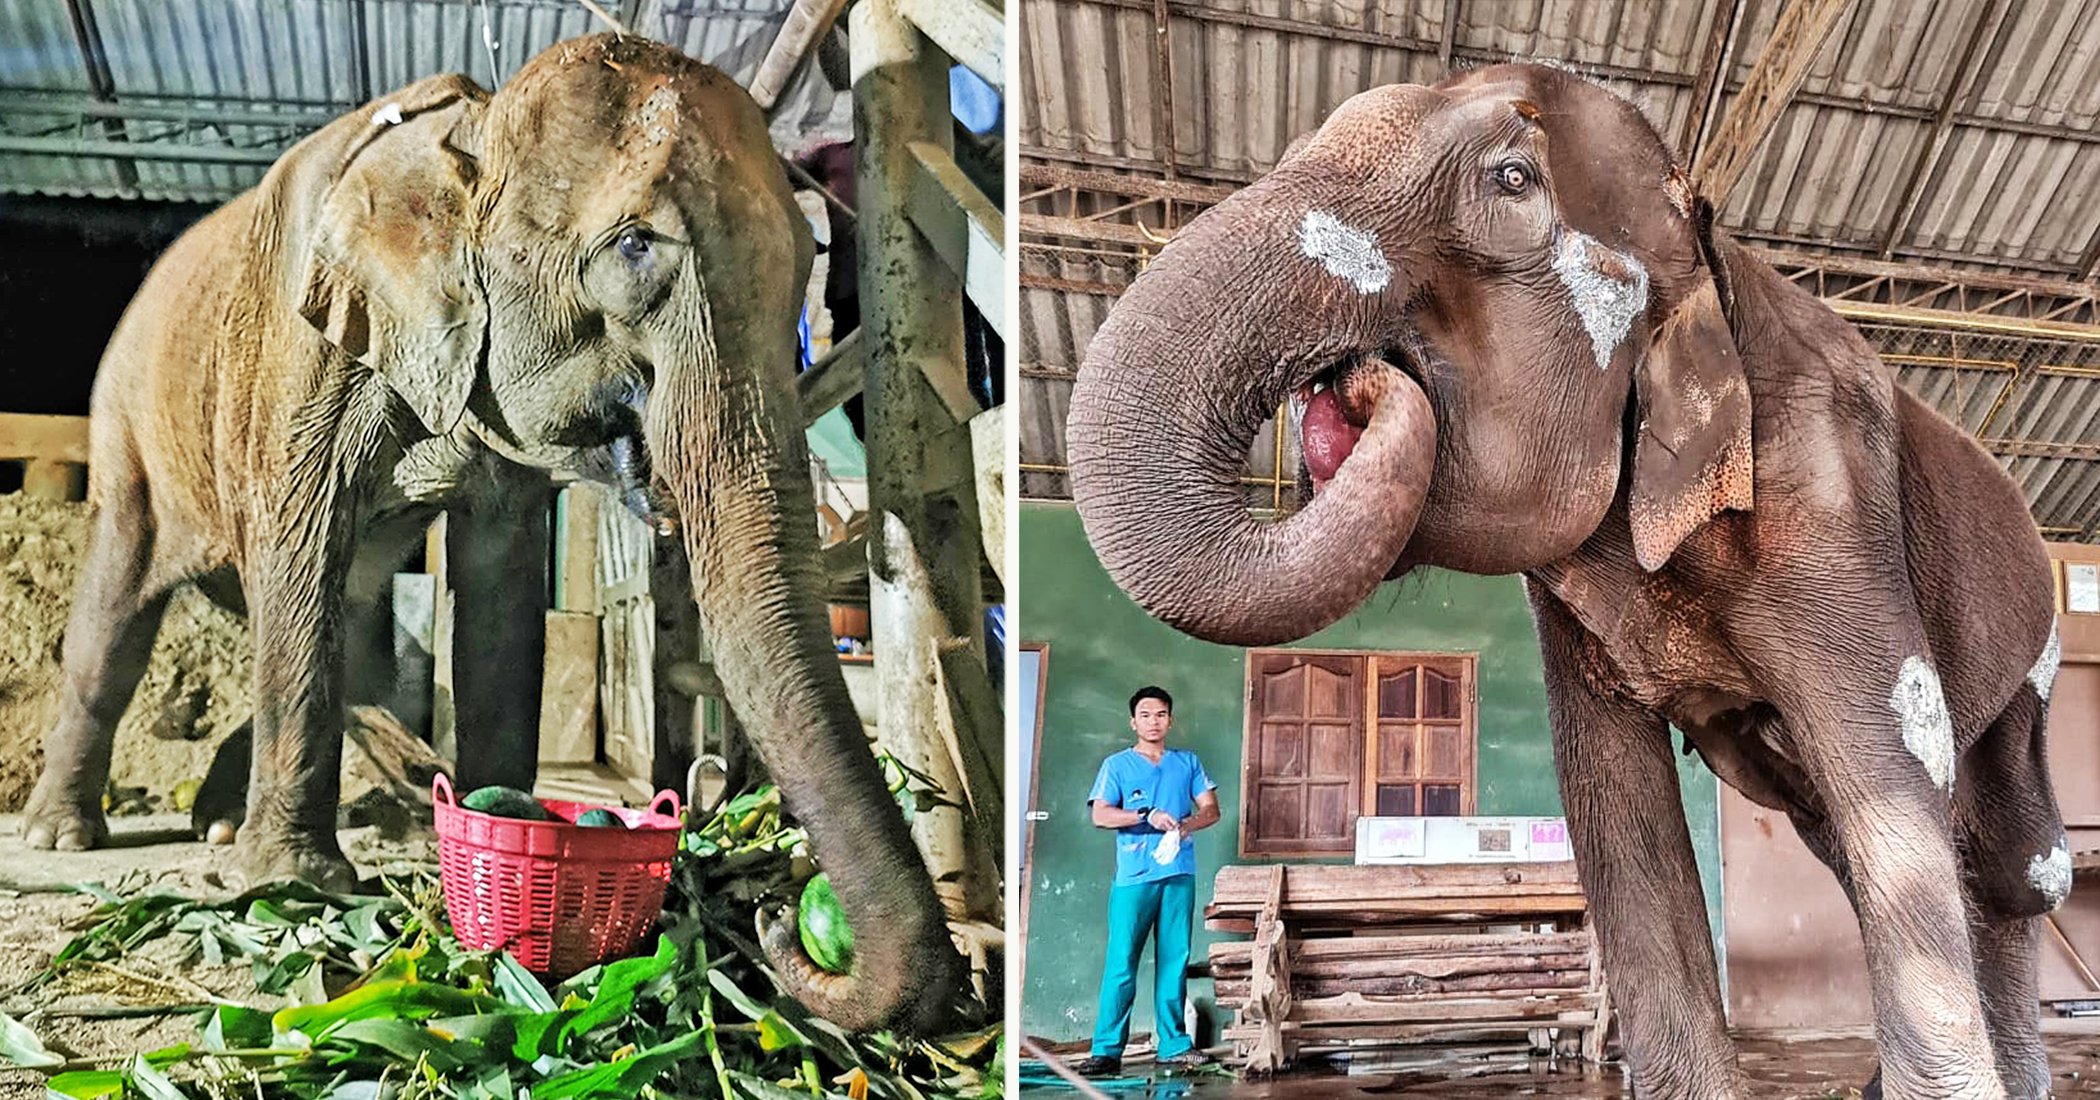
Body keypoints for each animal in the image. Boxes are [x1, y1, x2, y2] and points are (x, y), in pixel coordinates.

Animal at [20, 33, 959, 1034]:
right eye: (634, 245)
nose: (779, 918)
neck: (473, 127)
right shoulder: (300, 356)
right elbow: (301, 557)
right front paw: (297, 886)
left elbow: (501, 590)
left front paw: (481, 830)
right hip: (127, 427)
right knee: (117, 622)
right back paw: (66, 834)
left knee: (349, 640)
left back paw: (218, 822)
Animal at [1066, 63, 2065, 1099]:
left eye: (1510, 181)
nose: (1354, 381)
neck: (1706, 243)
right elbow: (1615, 802)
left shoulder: (1831, 490)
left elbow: (1890, 755)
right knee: (1839, 828)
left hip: (2034, 648)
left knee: (2012, 863)